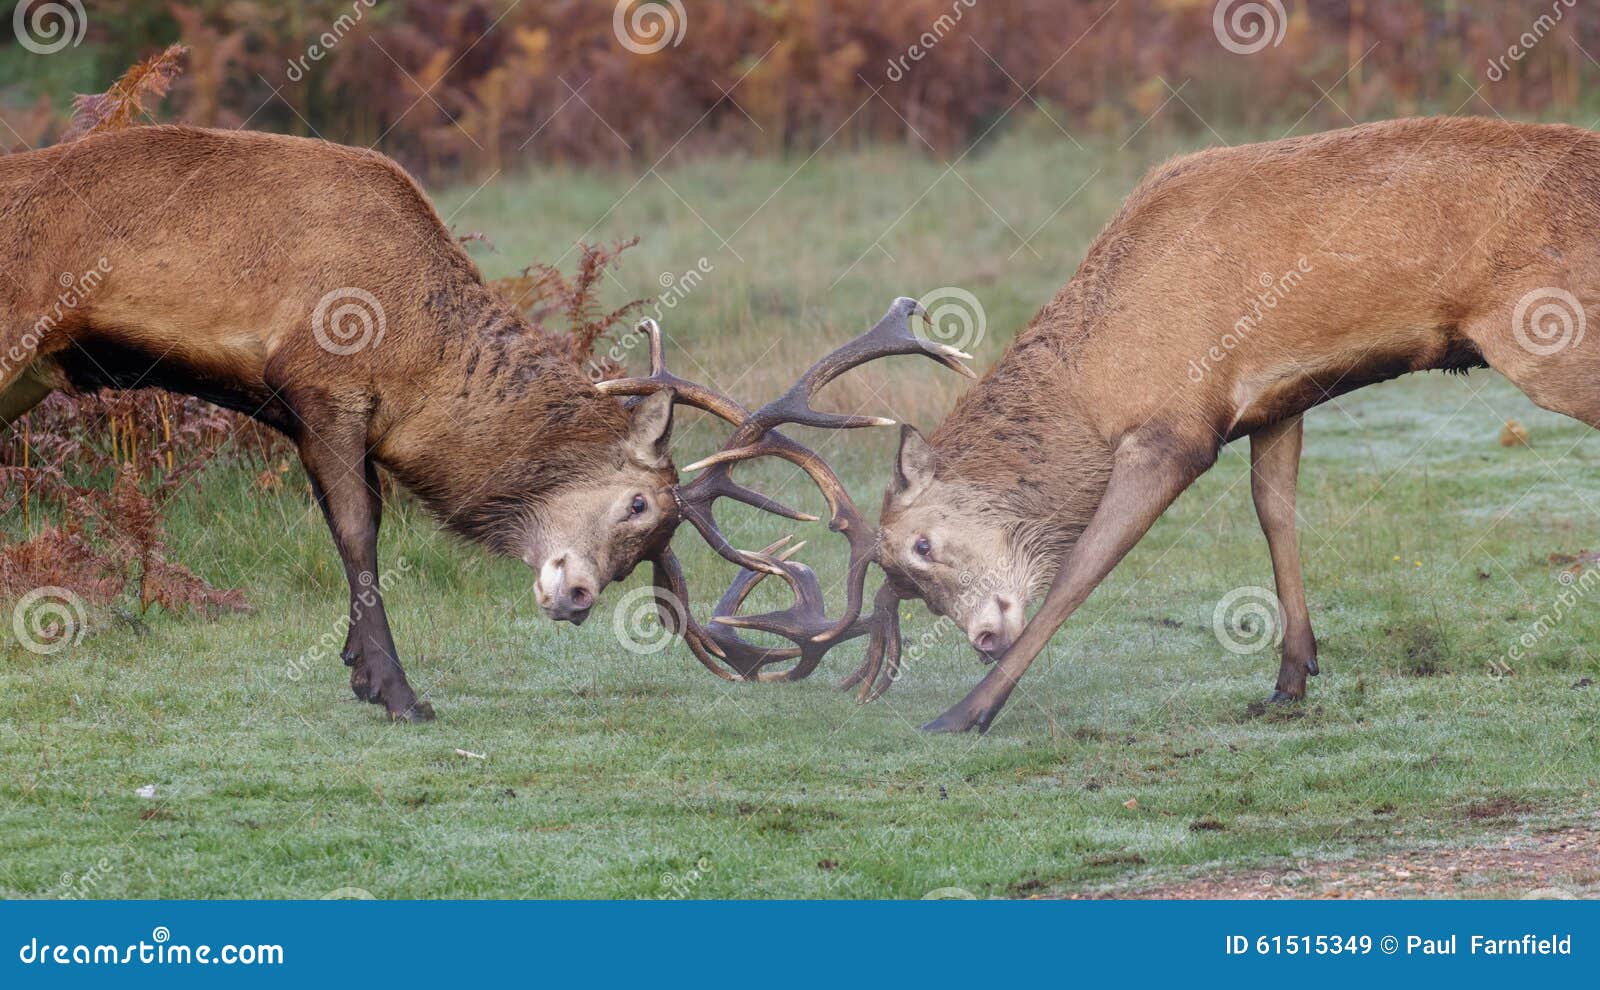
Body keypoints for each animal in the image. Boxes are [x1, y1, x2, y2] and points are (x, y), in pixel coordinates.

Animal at [0, 123, 965, 721]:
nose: (576, 599)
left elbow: (359, 531)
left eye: (642, 554)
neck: (415, 355)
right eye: (639, 508)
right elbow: (360, 533)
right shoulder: (323, 384)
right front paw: (398, 694)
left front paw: (359, 670)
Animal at [808, 115, 1600, 733]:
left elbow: (1079, 572)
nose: (983, 637)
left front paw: (966, 713)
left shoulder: (1174, 428)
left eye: (921, 546)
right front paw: (1291, 678)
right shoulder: (1277, 403)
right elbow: (1275, 514)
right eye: (905, 584)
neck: (1096, 383)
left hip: (1549, 339)